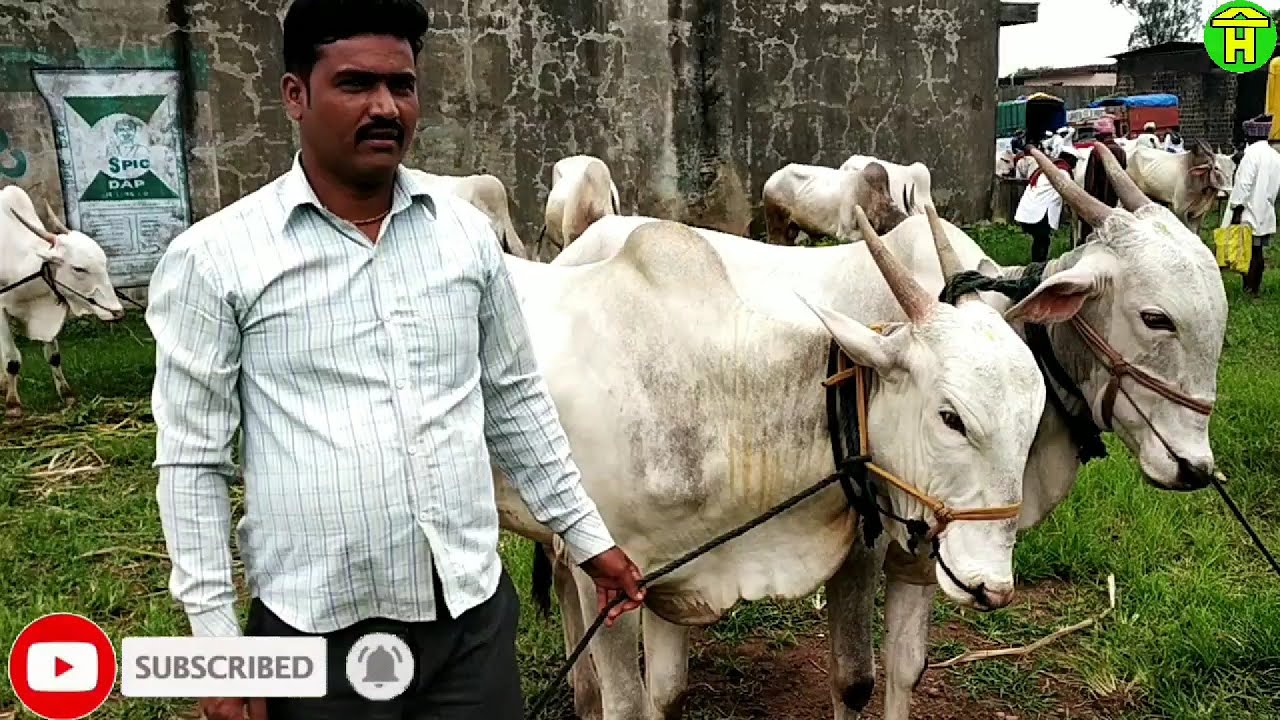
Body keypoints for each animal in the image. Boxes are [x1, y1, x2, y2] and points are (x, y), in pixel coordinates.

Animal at [0, 185, 125, 418]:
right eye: (79, 268)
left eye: (104, 263)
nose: (117, 312)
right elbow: (12, 359)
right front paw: (13, 405)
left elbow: (53, 356)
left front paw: (67, 395)